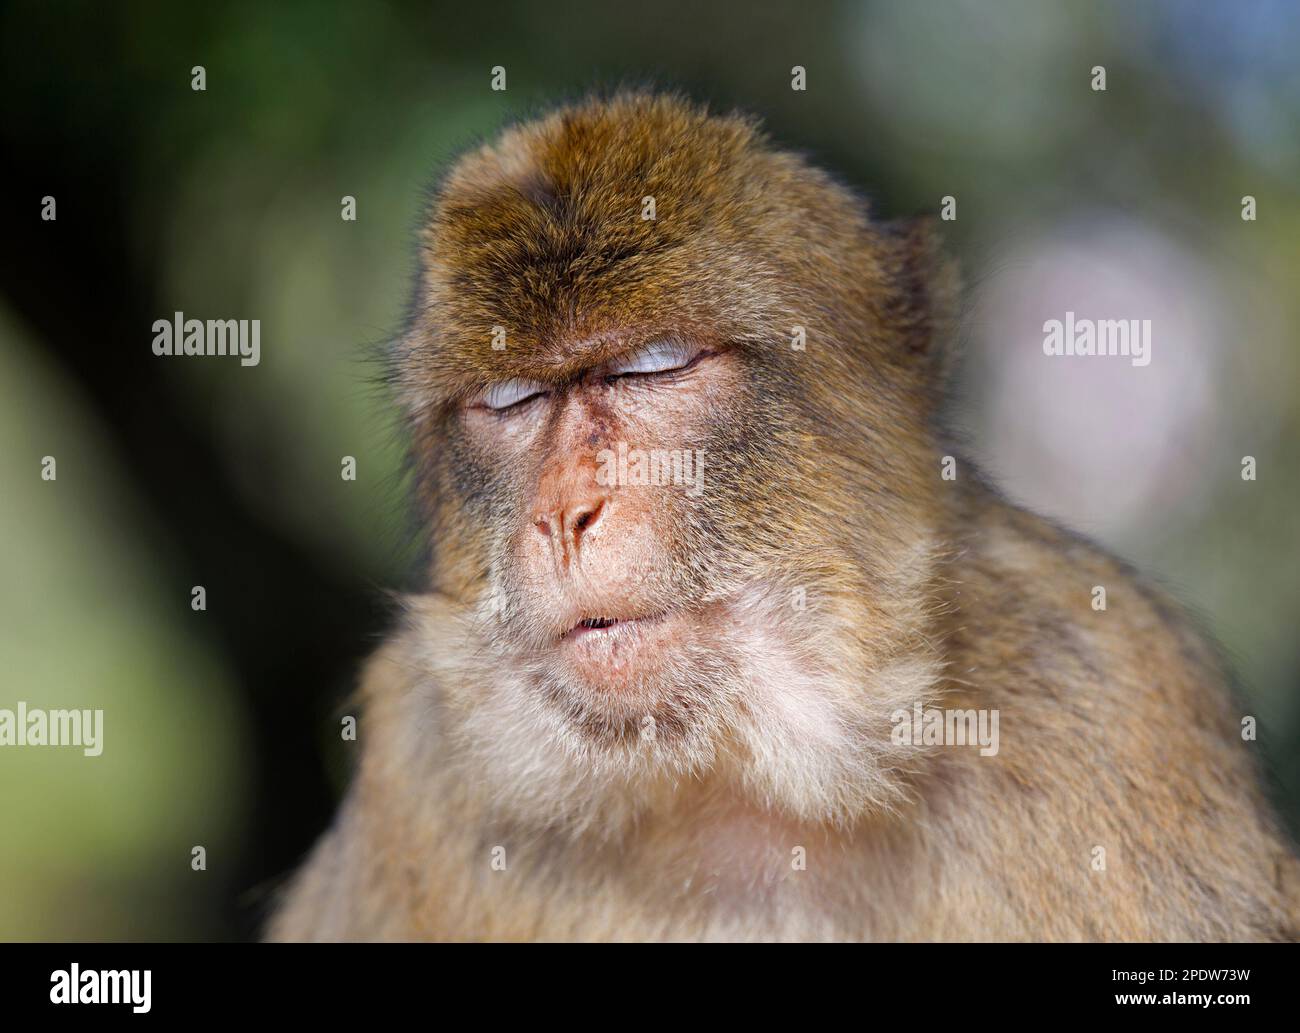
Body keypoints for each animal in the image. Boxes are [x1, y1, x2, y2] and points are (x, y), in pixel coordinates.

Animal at [266, 91, 1299, 942]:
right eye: (513, 399)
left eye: (653, 365)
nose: (563, 514)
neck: (735, 783)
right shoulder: (412, 760)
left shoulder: (1119, 689)